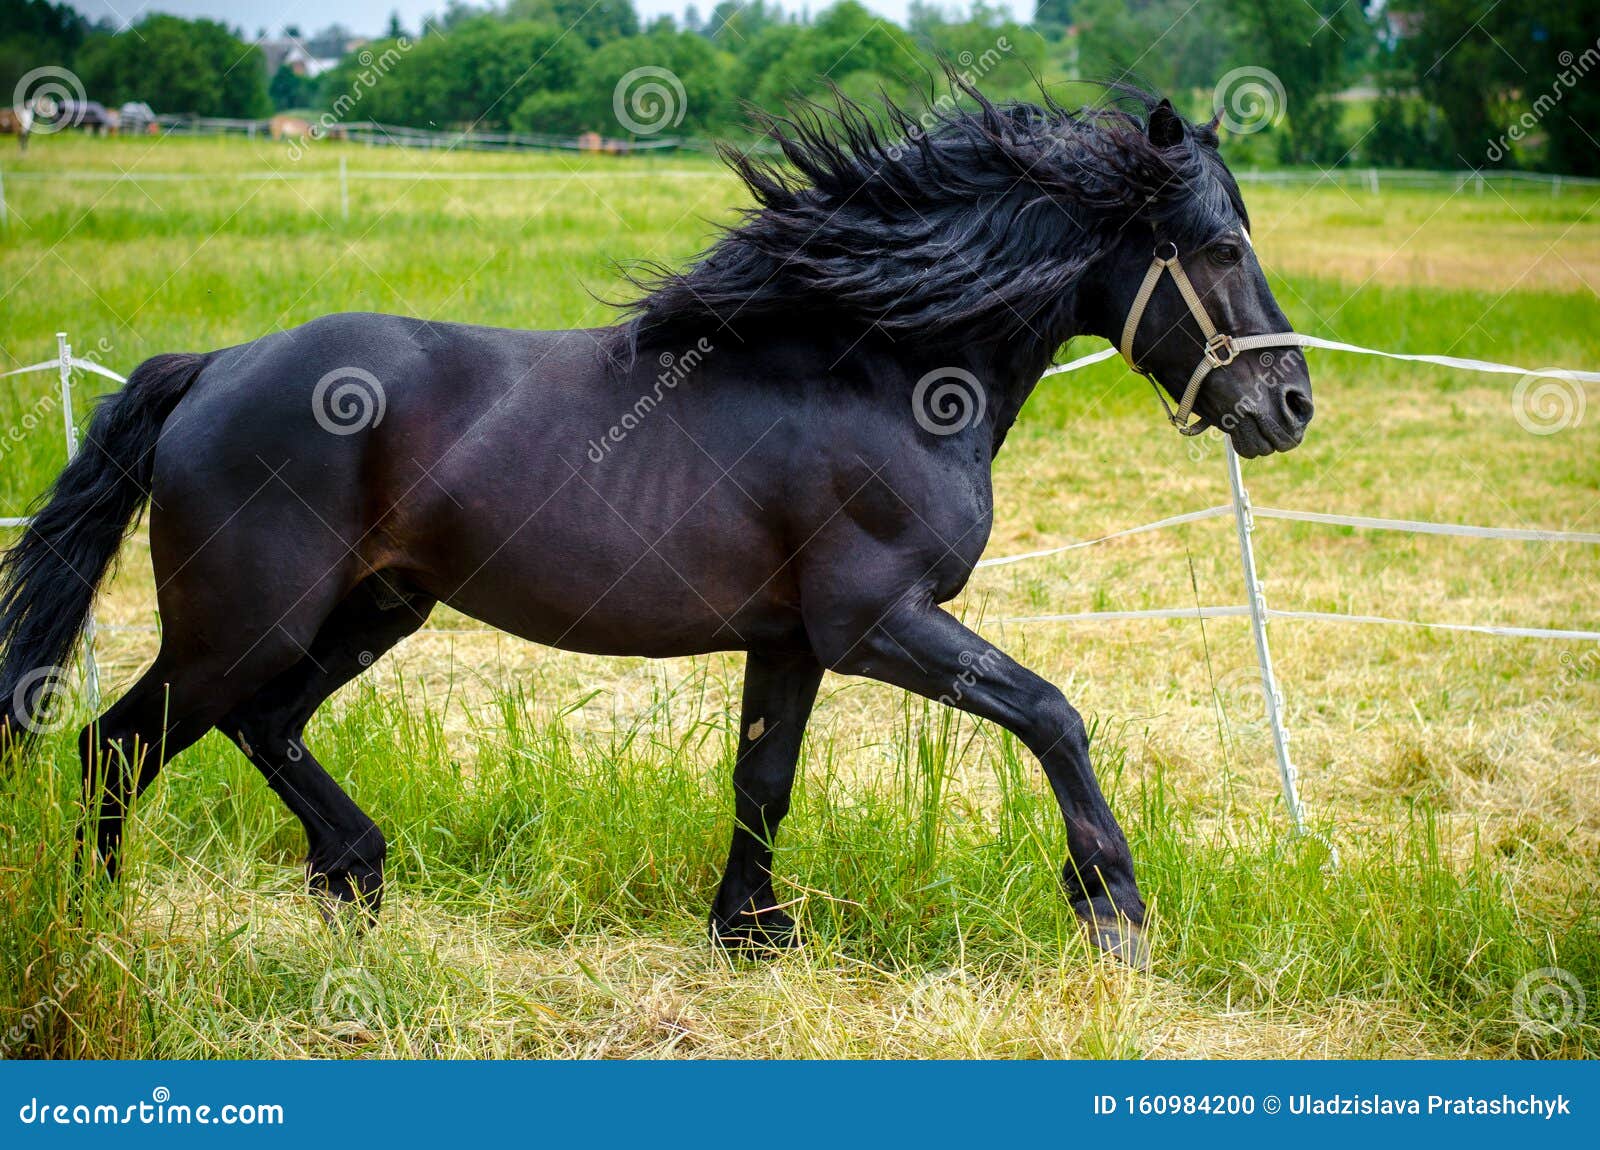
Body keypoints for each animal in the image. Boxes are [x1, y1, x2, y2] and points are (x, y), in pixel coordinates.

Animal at [0, 86, 1312, 966]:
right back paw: (102, 916)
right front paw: (1113, 909)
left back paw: (353, 873)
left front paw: (752, 931)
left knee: (259, 728)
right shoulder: (875, 623)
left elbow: (763, 780)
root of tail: (216, 367)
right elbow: (1051, 713)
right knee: (118, 745)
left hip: (374, 607)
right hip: (242, 622)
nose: (1290, 403)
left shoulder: (791, 641)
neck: (882, 375)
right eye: (1219, 246)